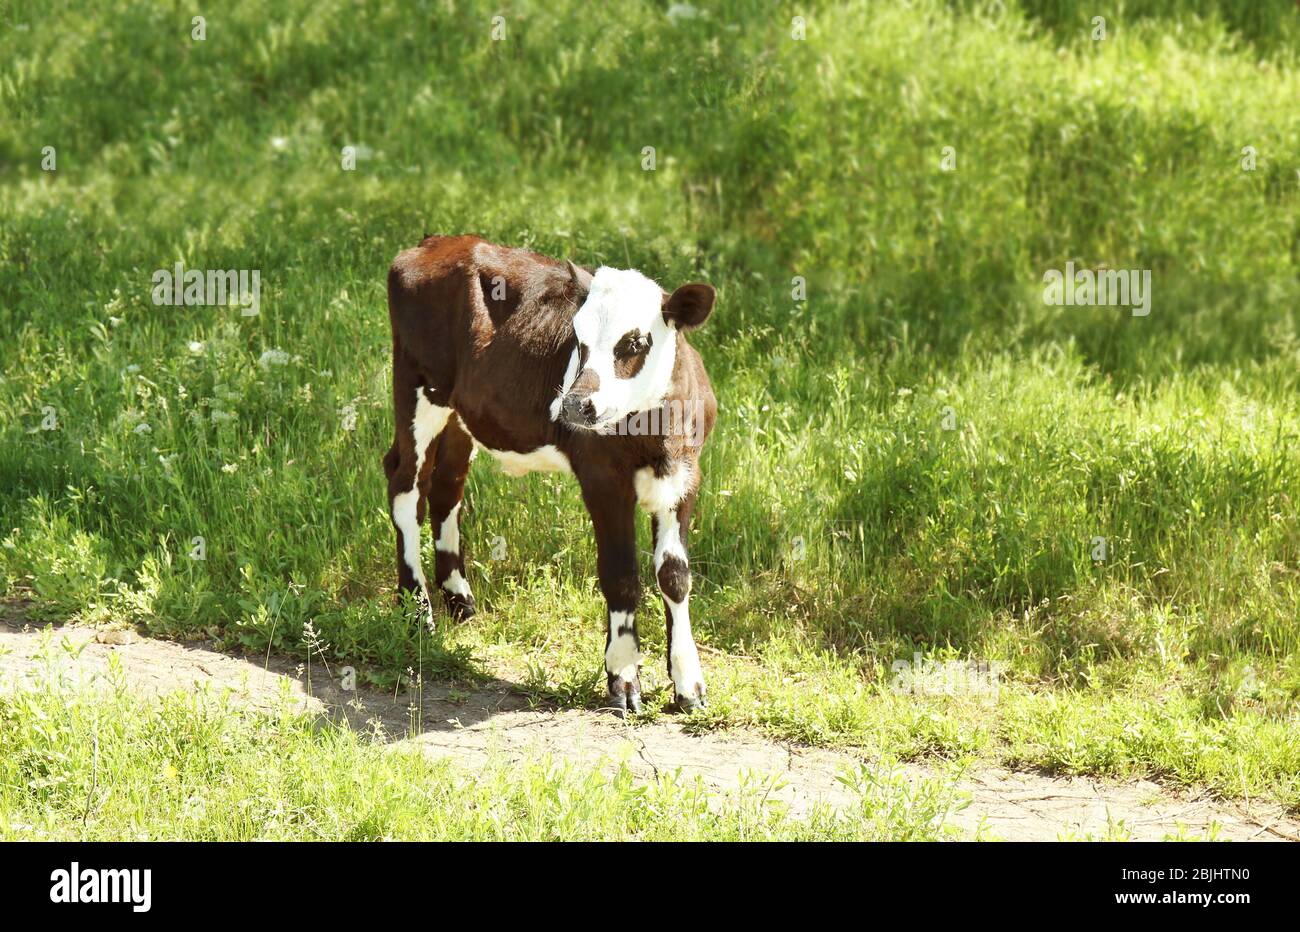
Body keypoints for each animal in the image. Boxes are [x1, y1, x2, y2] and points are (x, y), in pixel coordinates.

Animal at [383, 235, 717, 714]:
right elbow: (620, 574)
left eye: (635, 342)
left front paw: (689, 685)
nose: (576, 404)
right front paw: (624, 678)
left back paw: (460, 600)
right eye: (577, 339)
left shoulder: (686, 477)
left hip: (462, 414)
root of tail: (435, 242)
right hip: (417, 387)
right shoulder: (603, 478)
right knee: (407, 488)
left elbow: (675, 576)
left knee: (447, 487)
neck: (656, 438)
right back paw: (417, 609)